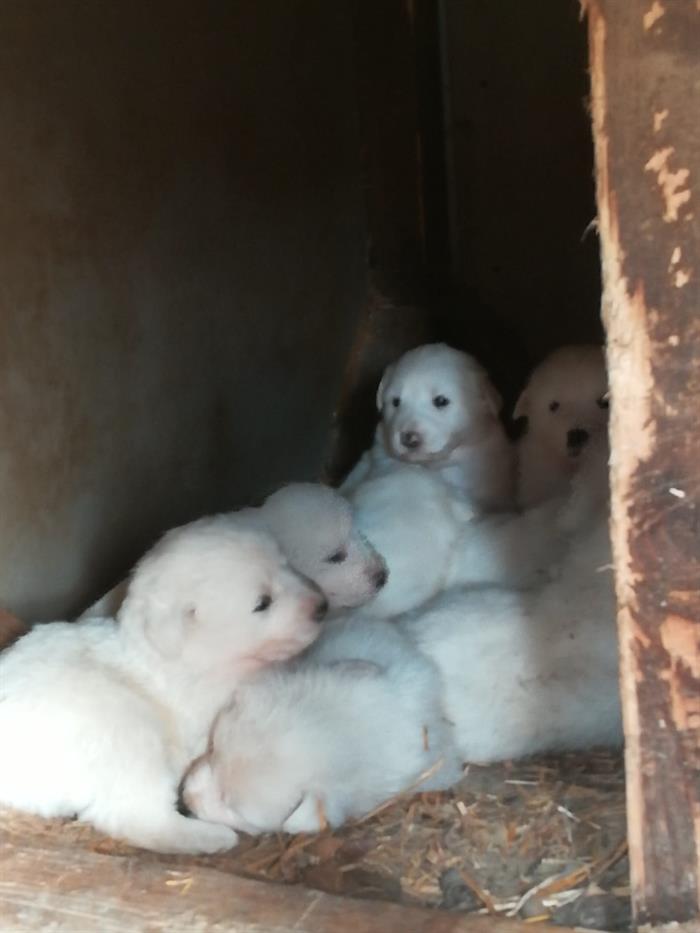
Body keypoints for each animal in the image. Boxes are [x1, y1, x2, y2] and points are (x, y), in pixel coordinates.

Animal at [0, 512, 326, 856]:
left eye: (287, 563)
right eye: (263, 602)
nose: (323, 606)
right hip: (128, 741)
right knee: (137, 818)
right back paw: (214, 837)